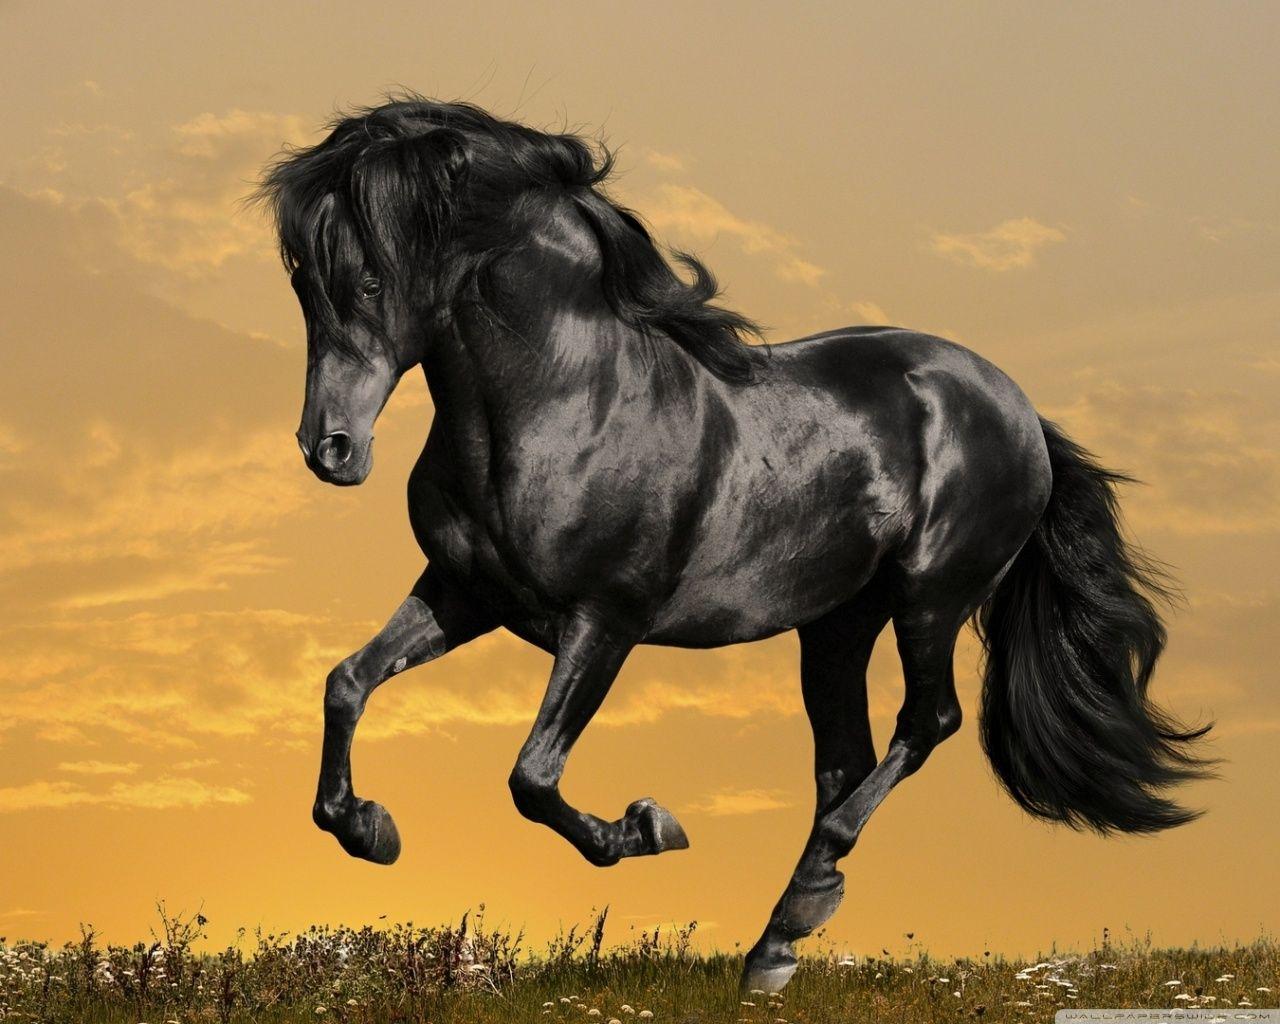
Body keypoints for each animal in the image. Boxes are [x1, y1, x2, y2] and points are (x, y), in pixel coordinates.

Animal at [256, 96, 1211, 993]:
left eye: (369, 281)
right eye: (302, 282)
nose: (329, 449)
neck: (566, 403)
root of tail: (1017, 410)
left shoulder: (605, 622)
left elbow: (533, 777)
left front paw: (647, 827)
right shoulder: (466, 594)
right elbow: (347, 683)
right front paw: (370, 829)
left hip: (930, 600)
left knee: (926, 722)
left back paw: (801, 905)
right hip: (836, 626)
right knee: (845, 761)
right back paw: (775, 946)